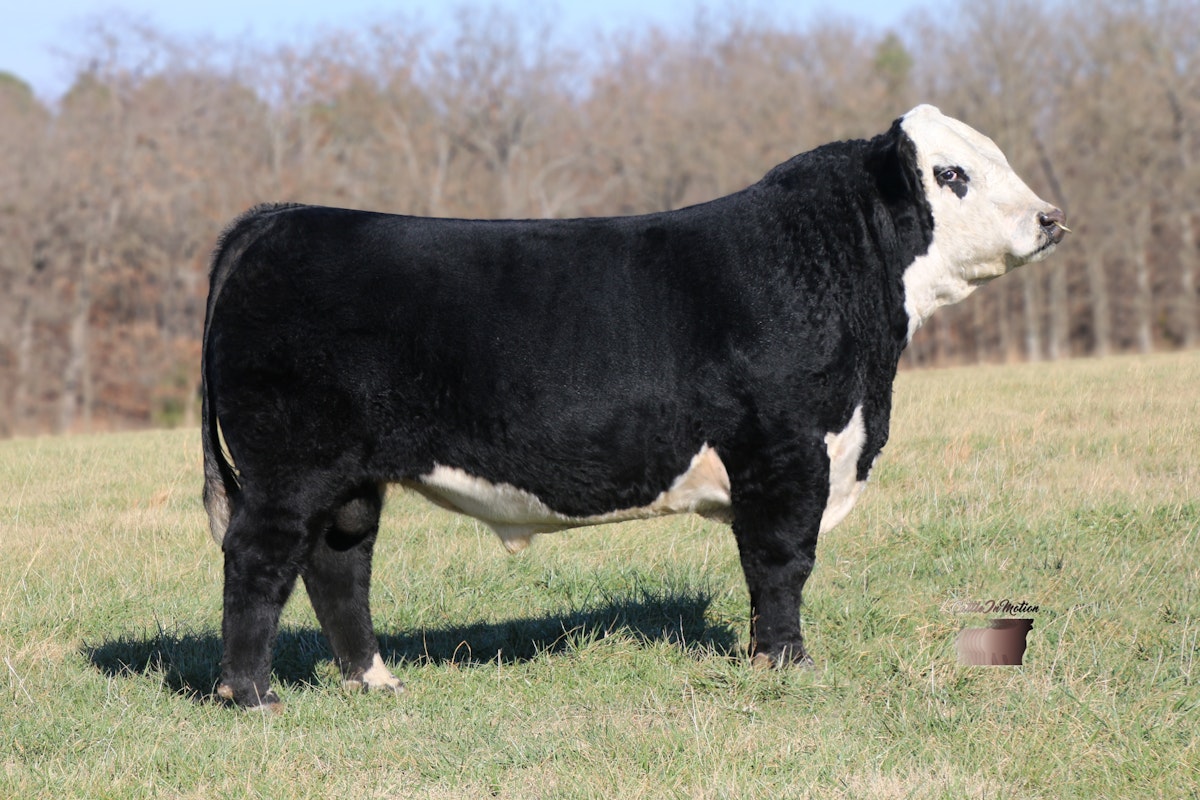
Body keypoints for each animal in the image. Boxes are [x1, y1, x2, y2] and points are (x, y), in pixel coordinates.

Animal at [201, 104, 1068, 709]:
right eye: (951, 174)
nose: (1051, 218)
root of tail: (281, 218)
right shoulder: (785, 454)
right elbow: (780, 564)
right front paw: (786, 665)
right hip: (291, 468)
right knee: (259, 558)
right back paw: (252, 695)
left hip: (349, 480)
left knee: (337, 563)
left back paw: (373, 681)